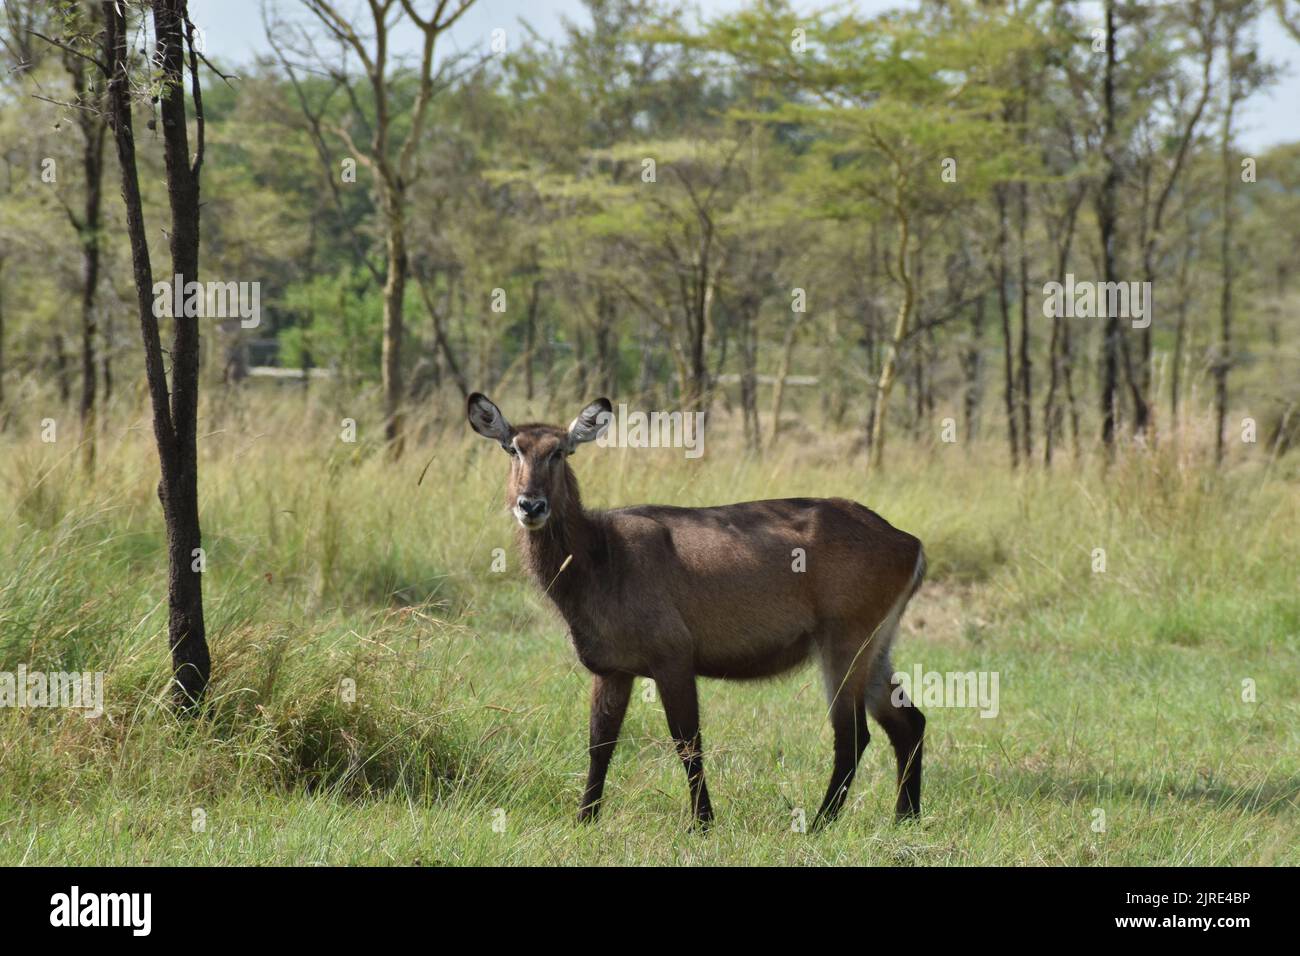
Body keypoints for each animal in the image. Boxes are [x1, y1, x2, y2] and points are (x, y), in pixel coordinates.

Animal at [467, 393, 928, 829]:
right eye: (513, 448)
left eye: (560, 451)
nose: (531, 505)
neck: (601, 555)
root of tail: (909, 542)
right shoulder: (613, 669)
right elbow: (600, 744)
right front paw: (585, 820)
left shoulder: (672, 658)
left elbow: (687, 743)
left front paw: (702, 822)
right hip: (876, 648)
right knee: (909, 722)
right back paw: (905, 817)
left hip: (844, 643)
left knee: (853, 735)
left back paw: (819, 824)